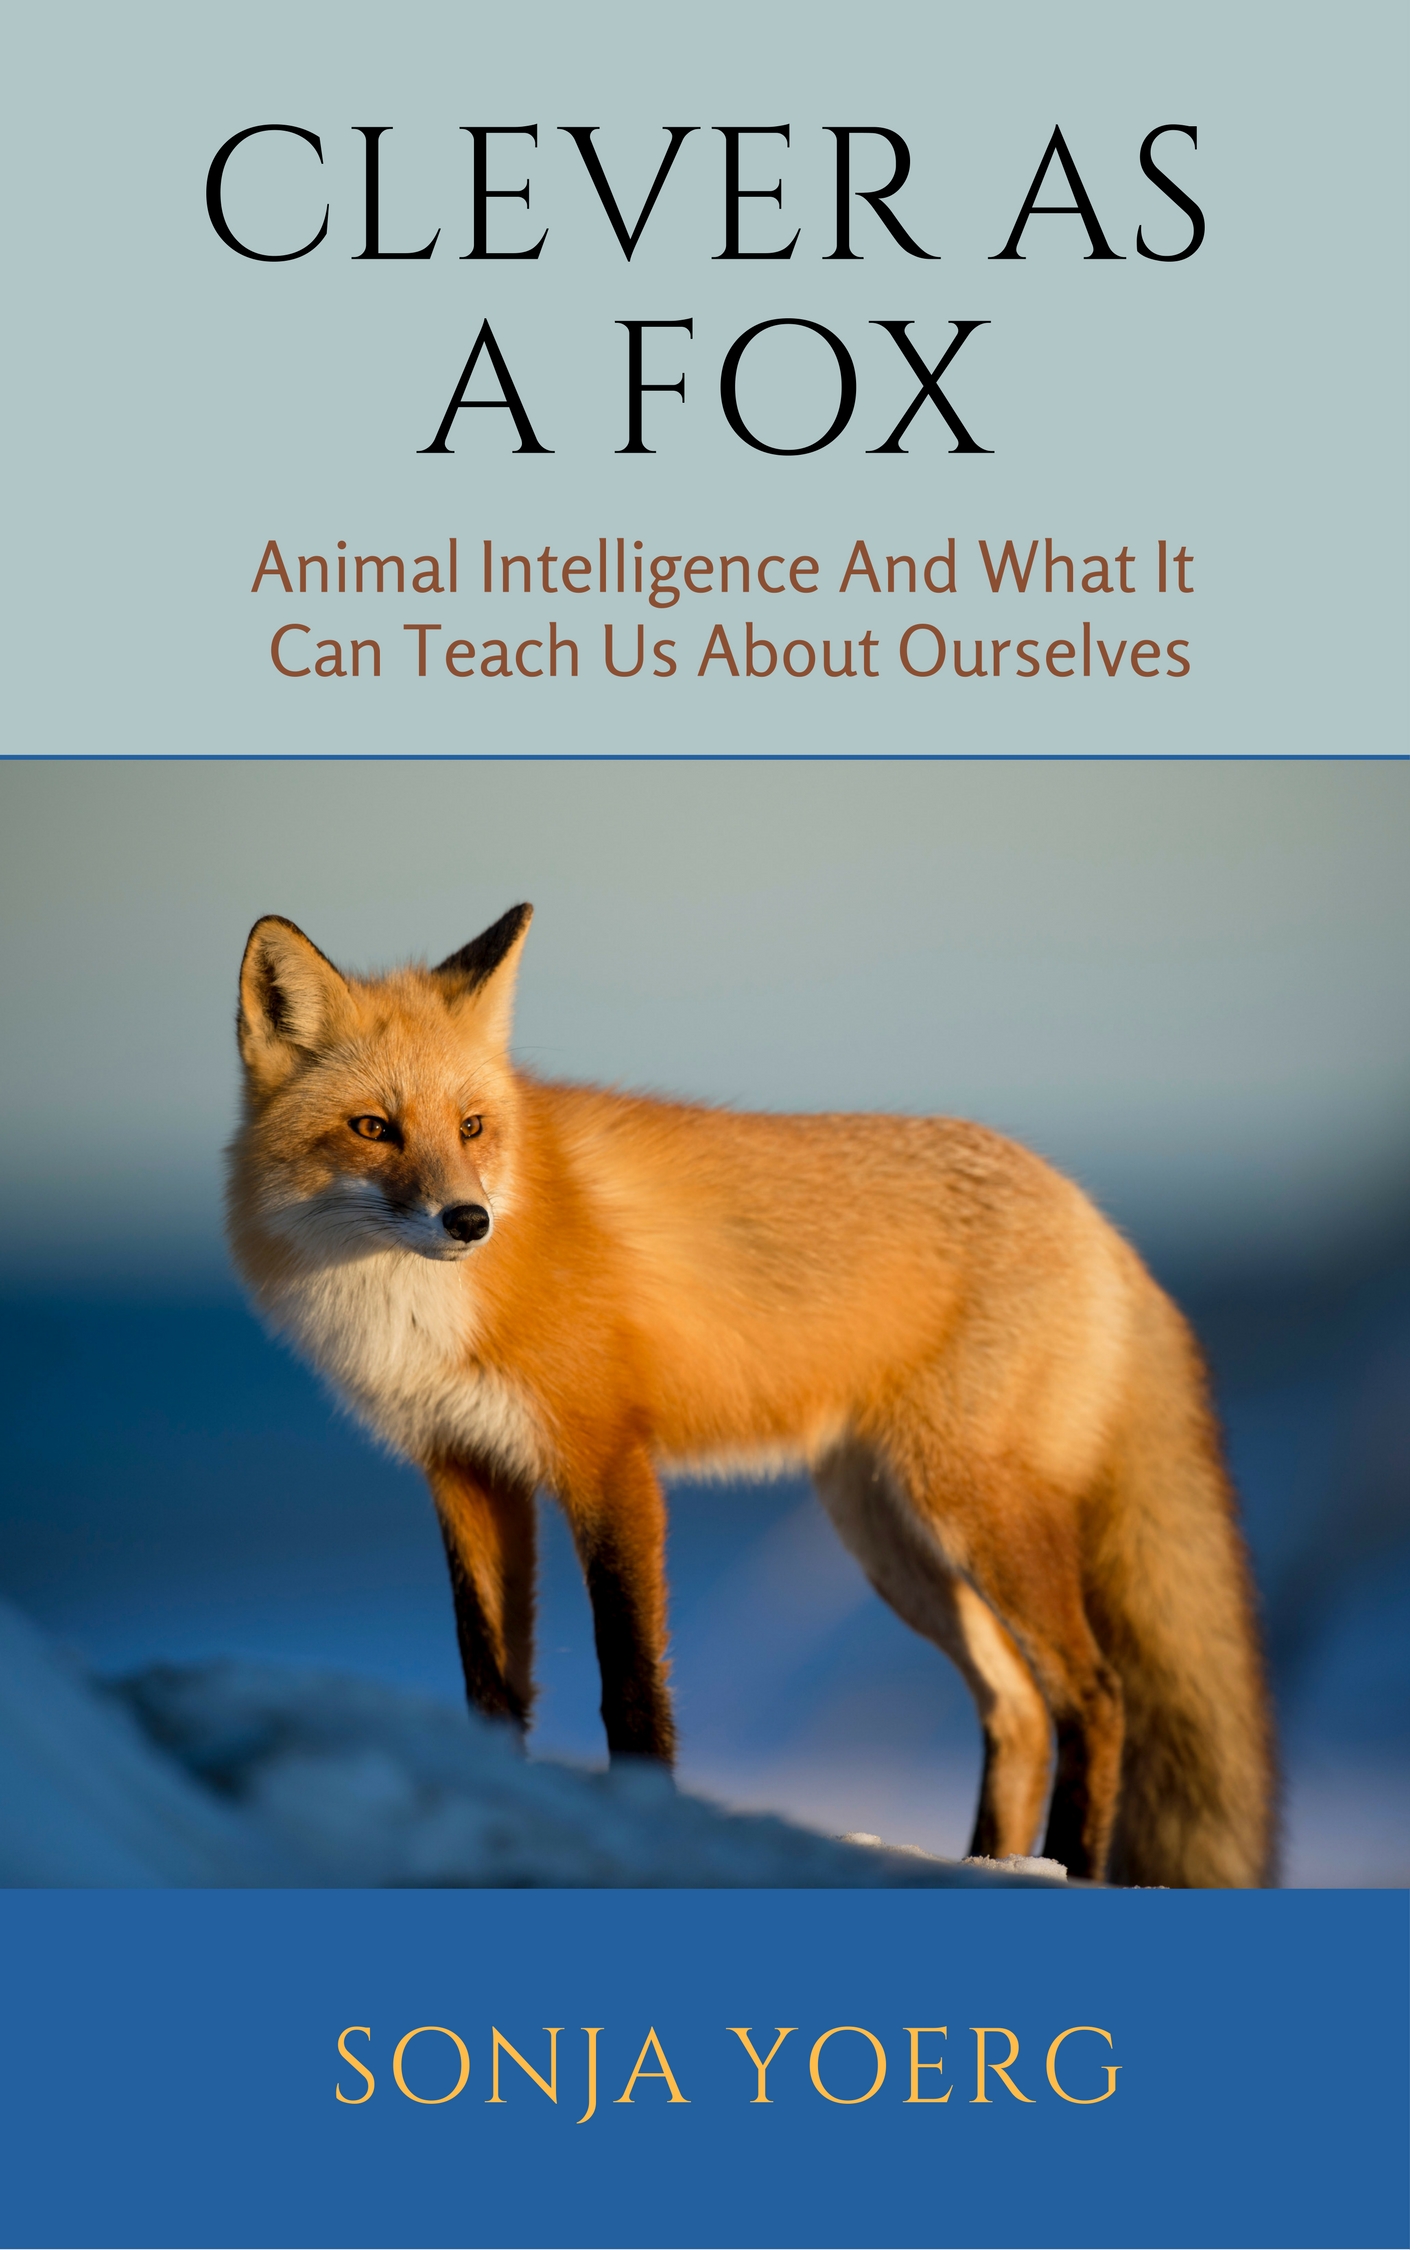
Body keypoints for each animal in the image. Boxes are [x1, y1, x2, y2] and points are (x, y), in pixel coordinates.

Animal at [226, 902, 1277, 1886]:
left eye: (473, 1127)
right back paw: (988, 1864)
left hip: (972, 1510)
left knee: (1095, 1695)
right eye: (374, 1128)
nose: (469, 1220)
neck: (417, 1312)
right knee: (1016, 1706)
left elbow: (631, 1685)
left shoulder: (607, 1459)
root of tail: (1095, 1217)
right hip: (888, 1535)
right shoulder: (465, 1469)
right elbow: (490, 1684)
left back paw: (1069, 1867)